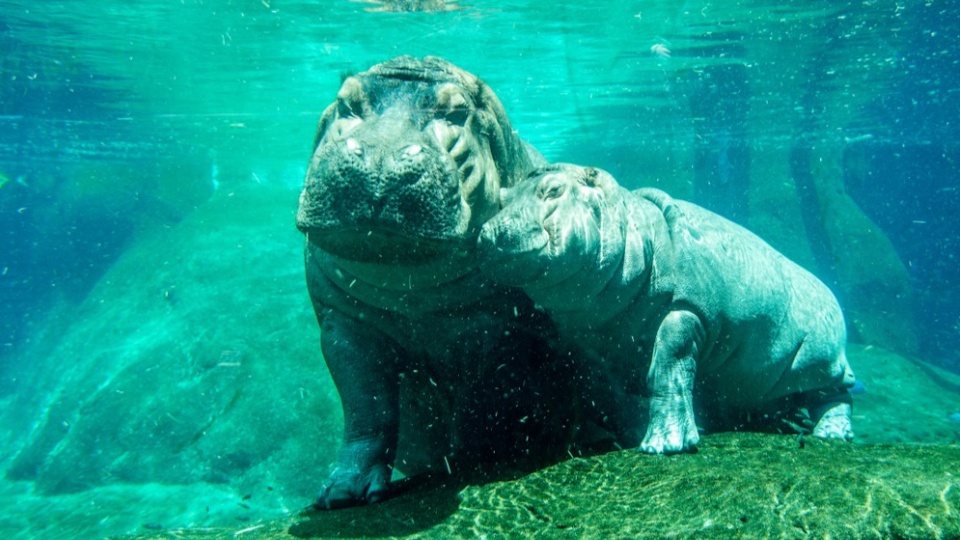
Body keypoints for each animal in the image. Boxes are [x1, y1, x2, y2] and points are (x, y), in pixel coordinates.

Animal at [296, 56, 570, 509]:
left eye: (457, 113)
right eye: (345, 102)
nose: (381, 156)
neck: (412, 285)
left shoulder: (499, 330)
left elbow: (480, 400)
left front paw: (472, 463)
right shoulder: (344, 327)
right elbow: (366, 406)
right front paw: (342, 493)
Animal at [477, 164, 856, 454]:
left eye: (553, 189)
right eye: (502, 196)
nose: (491, 231)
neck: (634, 229)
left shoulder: (687, 310)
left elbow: (666, 369)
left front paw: (664, 446)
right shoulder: (584, 340)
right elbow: (599, 386)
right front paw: (617, 435)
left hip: (823, 360)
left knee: (837, 394)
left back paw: (832, 434)